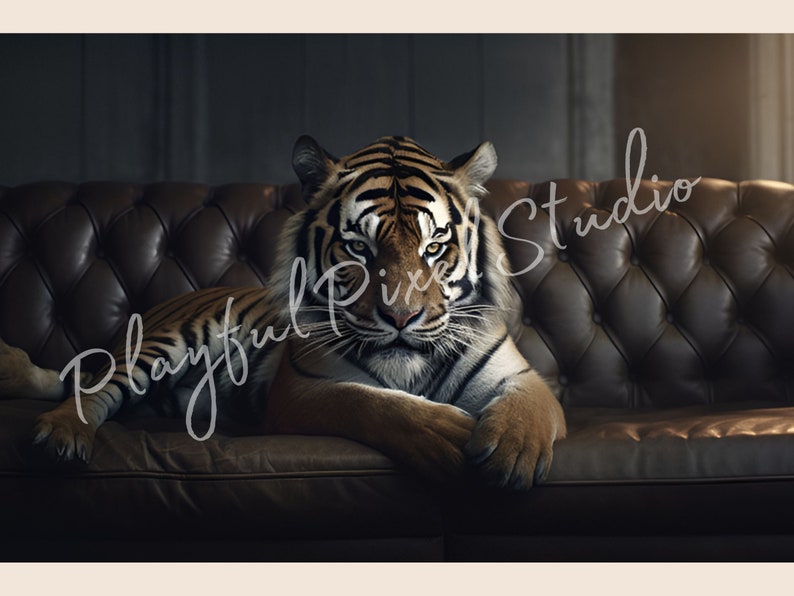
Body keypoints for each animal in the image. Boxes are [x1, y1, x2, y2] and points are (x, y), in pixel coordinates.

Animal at [0, 135, 566, 490]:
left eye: (434, 247)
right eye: (358, 248)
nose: (401, 319)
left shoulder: (518, 376)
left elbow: (529, 409)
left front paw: (513, 454)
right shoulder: (303, 390)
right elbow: (372, 403)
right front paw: (445, 435)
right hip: (168, 342)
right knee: (90, 386)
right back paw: (60, 435)